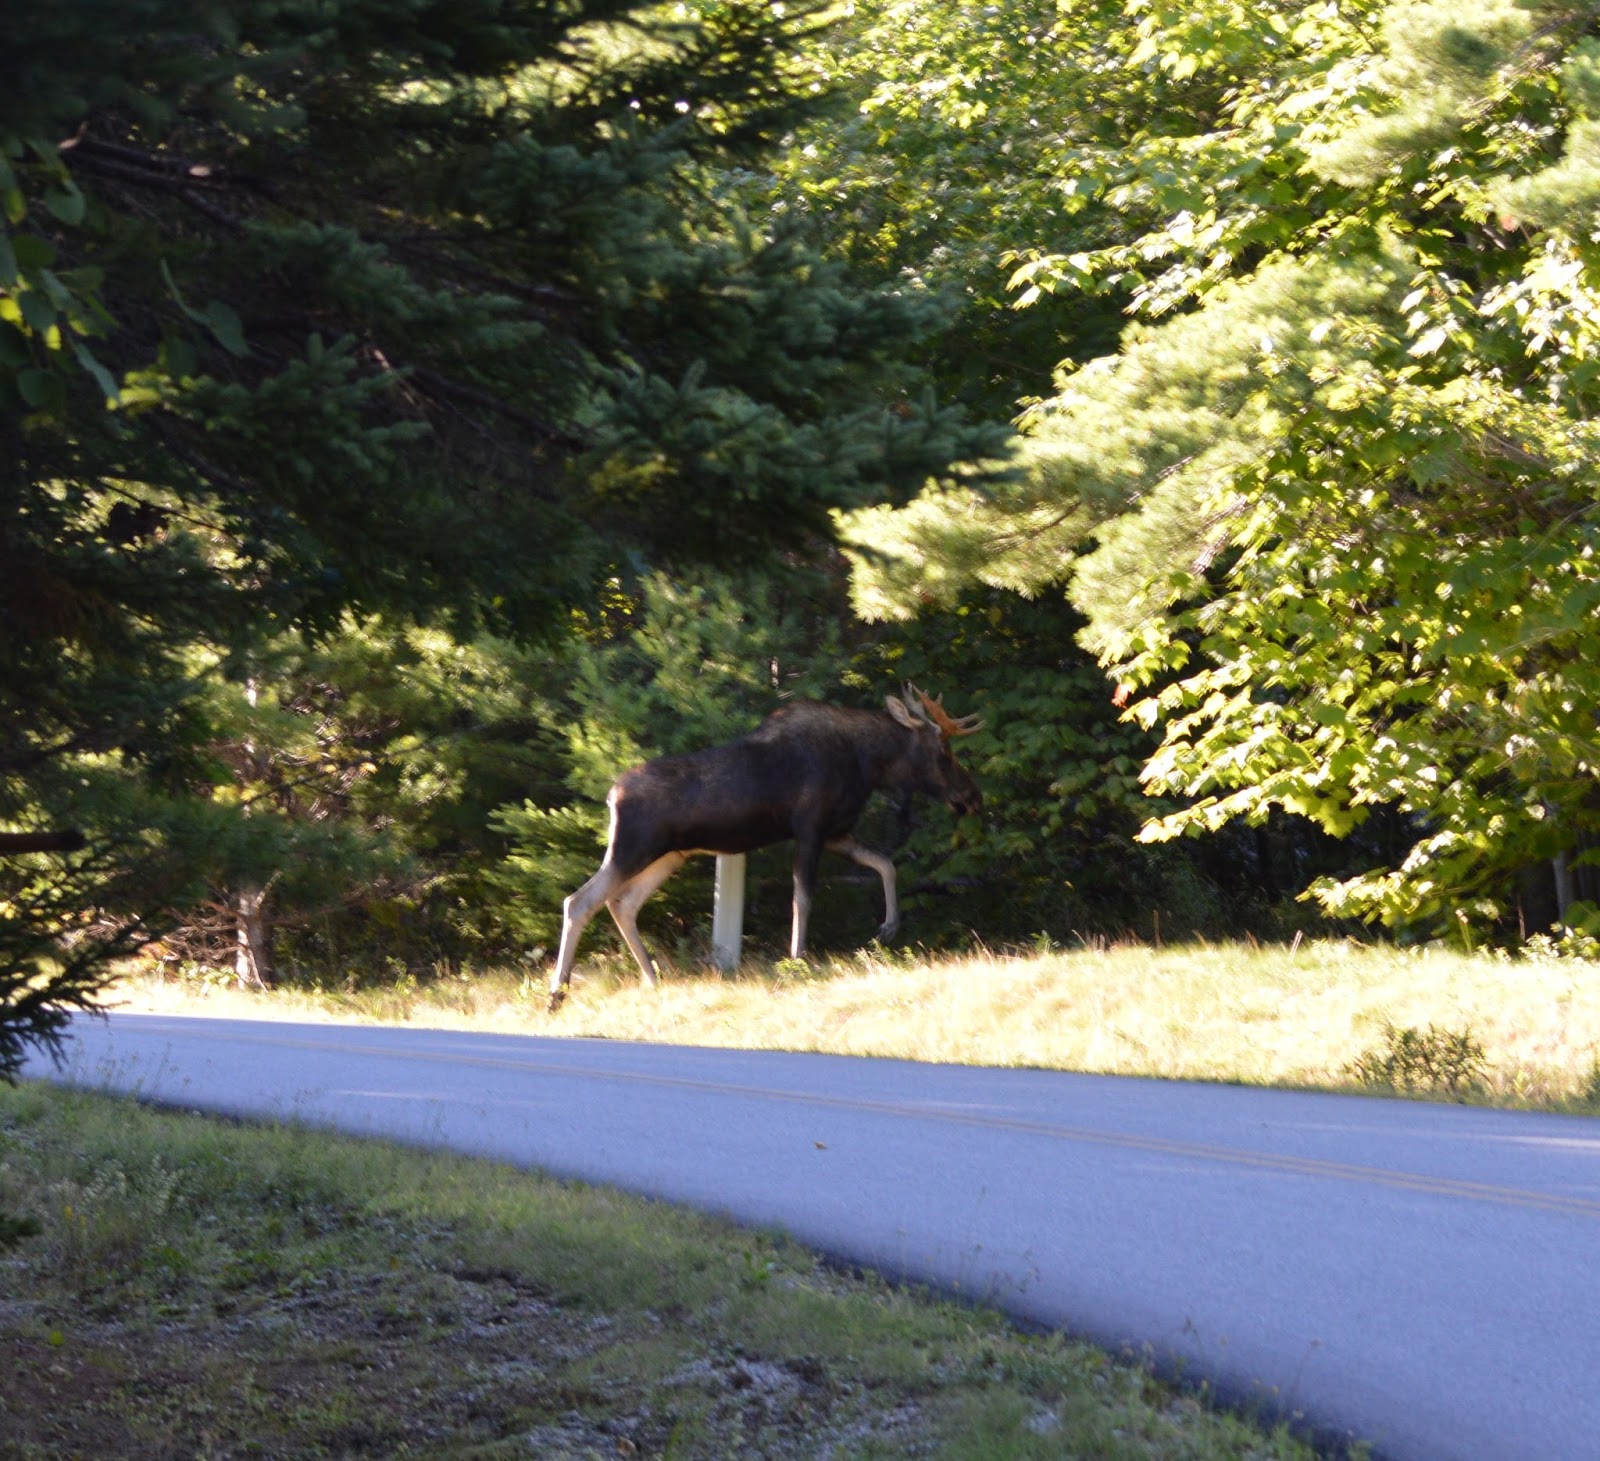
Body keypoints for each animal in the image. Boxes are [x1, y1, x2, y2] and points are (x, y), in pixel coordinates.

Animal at [547, 684, 982, 1010]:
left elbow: (886, 864)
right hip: (632, 848)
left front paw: (888, 927)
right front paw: (796, 960)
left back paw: (653, 979)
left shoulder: (837, 831)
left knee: (622, 903)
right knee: (580, 901)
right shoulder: (810, 828)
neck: (869, 765)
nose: (972, 797)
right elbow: (802, 899)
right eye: (943, 750)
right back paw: (557, 994)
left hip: (669, 855)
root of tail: (612, 795)